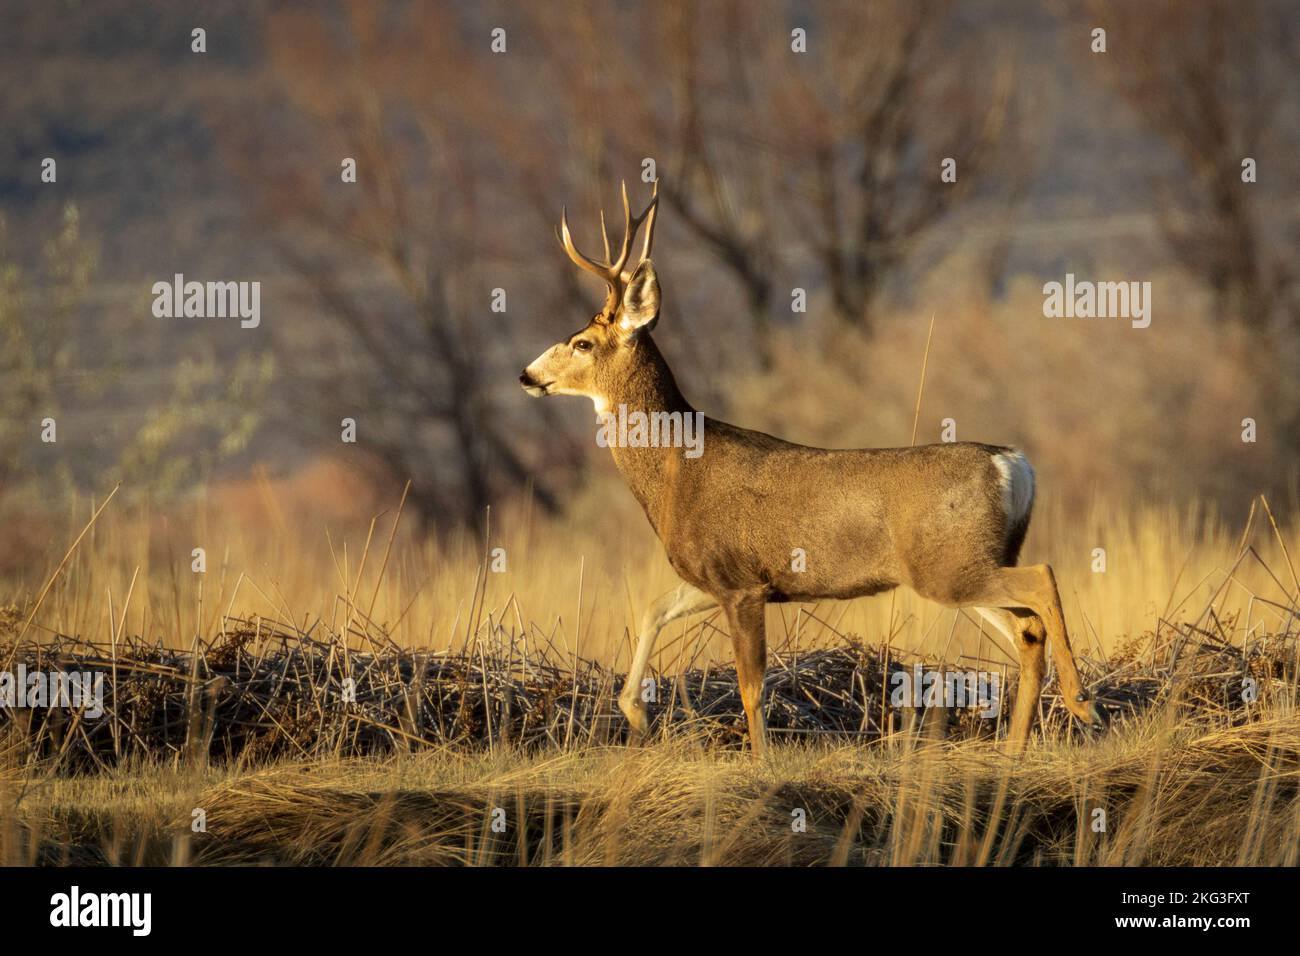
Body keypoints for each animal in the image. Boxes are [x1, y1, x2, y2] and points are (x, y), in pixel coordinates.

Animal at [519, 178, 1107, 755]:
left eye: (581, 343)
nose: (526, 375)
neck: (674, 471)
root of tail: (1012, 463)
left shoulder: (741, 584)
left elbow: (750, 685)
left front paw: (760, 760)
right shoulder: (716, 578)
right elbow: (654, 605)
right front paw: (634, 711)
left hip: (950, 565)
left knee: (1042, 579)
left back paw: (1082, 702)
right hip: (967, 565)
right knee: (1028, 631)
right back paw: (1015, 748)